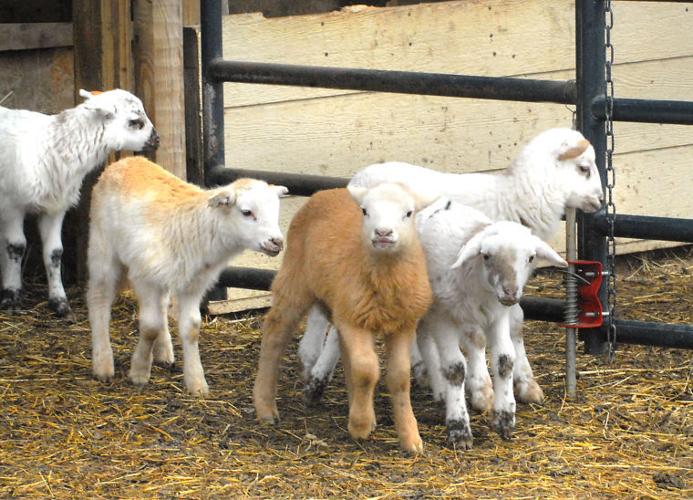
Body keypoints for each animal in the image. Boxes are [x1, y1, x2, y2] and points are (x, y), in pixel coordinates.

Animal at [0, 89, 159, 318]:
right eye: (135, 121)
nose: (157, 140)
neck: (53, 146)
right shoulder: (12, 206)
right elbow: (16, 246)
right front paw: (11, 296)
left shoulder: (55, 207)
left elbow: (54, 252)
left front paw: (59, 302)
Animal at [87, 156, 287, 395]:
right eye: (247, 212)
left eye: (276, 211)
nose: (277, 242)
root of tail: (127, 160)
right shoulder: (145, 277)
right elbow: (149, 326)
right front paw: (139, 371)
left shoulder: (194, 283)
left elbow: (191, 328)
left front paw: (196, 382)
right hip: (102, 247)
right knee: (99, 297)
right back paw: (103, 363)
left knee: (162, 306)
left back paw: (164, 352)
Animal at [253, 183, 436, 454]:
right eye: (365, 211)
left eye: (408, 213)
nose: (383, 233)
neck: (386, 278)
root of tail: (327, 191)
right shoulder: (354, 319)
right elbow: (367, 370)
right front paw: (360, 426)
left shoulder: (402, 323)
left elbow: (400, 376)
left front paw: (410, 438)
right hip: (295, 280)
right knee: (275, 334)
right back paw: (265, 407)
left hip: (340, 304)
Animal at [299, 127, 602, 407]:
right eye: (584, 168)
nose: (600, 200)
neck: (515, 196)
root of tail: (356, 181)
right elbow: (476, 336)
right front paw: (485, 388)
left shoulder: (507, 285)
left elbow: (515, 324)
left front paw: (525, 384)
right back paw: (319, 377)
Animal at [414, 199, 567, 447]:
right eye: (486, 256)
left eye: (531, 258)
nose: (510, 292)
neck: (479, 285)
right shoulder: (443, 315)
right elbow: (454, 368)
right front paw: (459, 429)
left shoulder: (497, 315)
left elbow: (505, 360)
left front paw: (504, 417)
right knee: (424, 339)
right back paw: (440, 389)